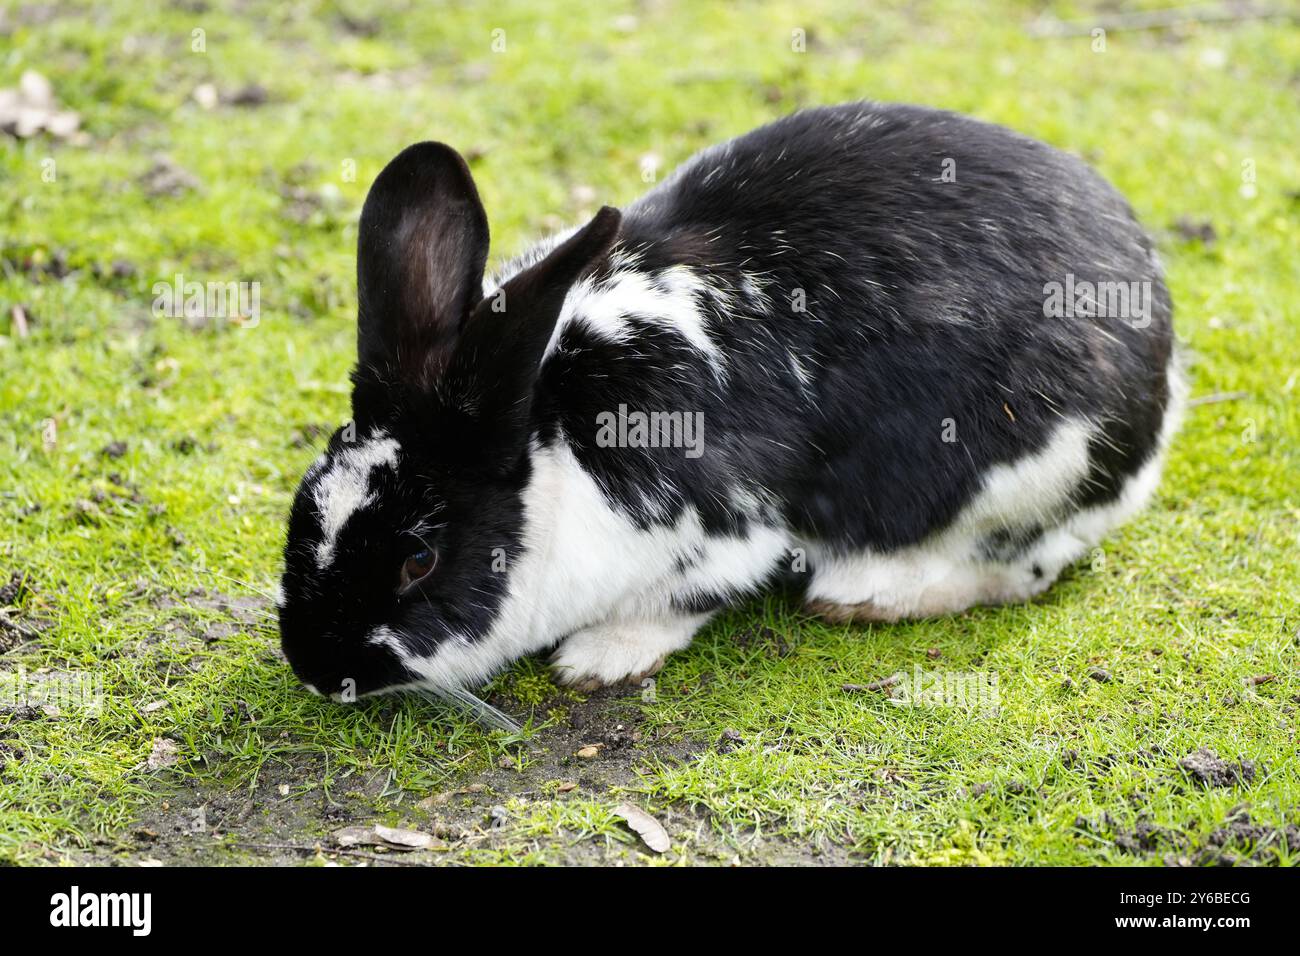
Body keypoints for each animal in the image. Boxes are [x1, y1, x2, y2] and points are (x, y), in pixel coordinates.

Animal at [277, 101, 1181, 701]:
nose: (318, 668)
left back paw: (863, 594)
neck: (552, 427)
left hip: (1030, 475)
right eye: (303, 509)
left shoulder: (723, 534)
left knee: (1026, 563)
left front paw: (597, 659)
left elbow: (679, 601)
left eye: (419, 560)